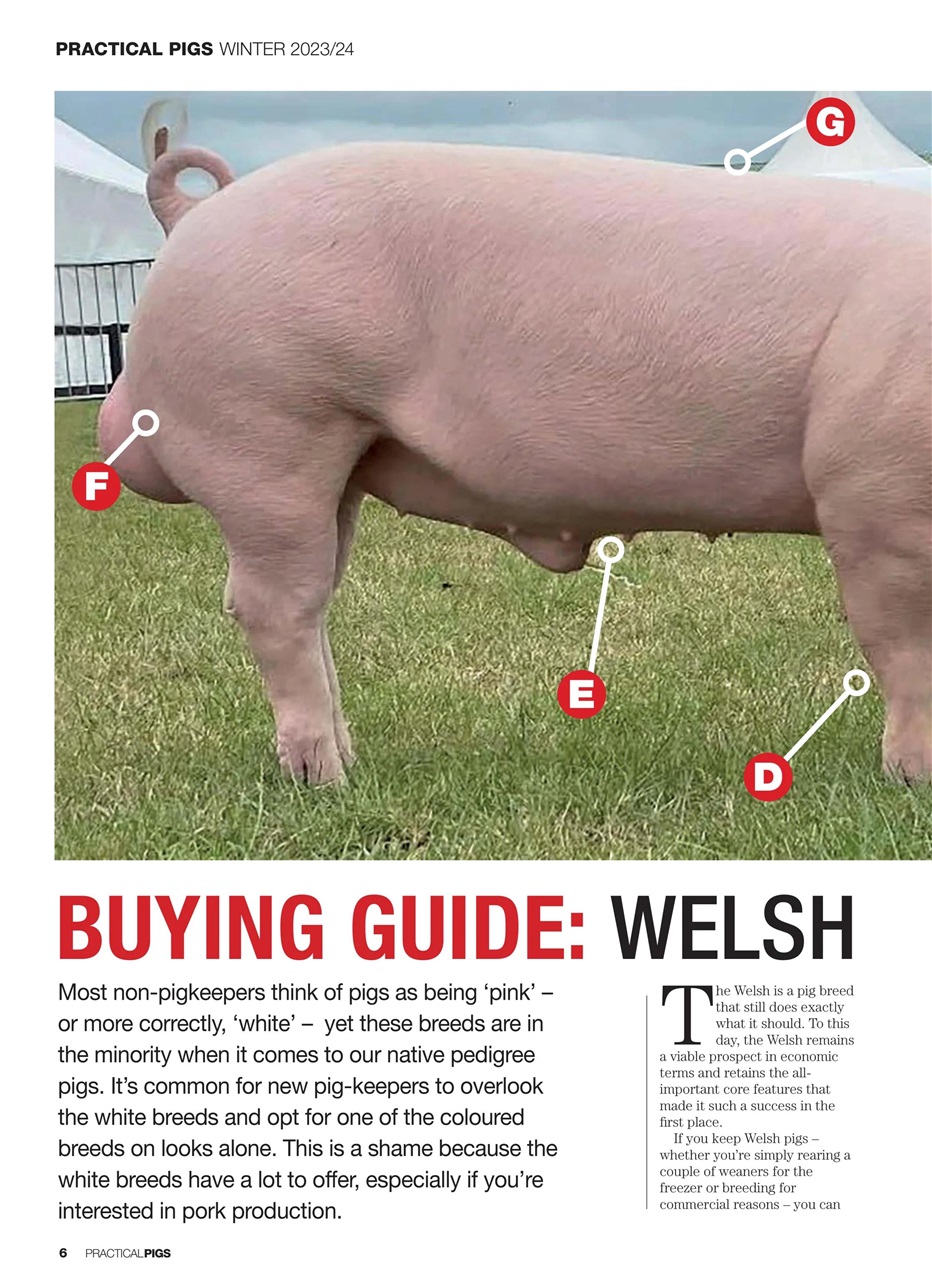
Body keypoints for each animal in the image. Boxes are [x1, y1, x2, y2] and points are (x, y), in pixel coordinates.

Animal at [98, 141, 932, 785]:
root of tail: (195, 216)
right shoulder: (873, 494)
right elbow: (904, 646)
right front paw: (911, 782)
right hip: (270, 432)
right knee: (273, 607)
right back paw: (323, 781)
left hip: (332, 468)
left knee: (315, 599)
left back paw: (350, 763)